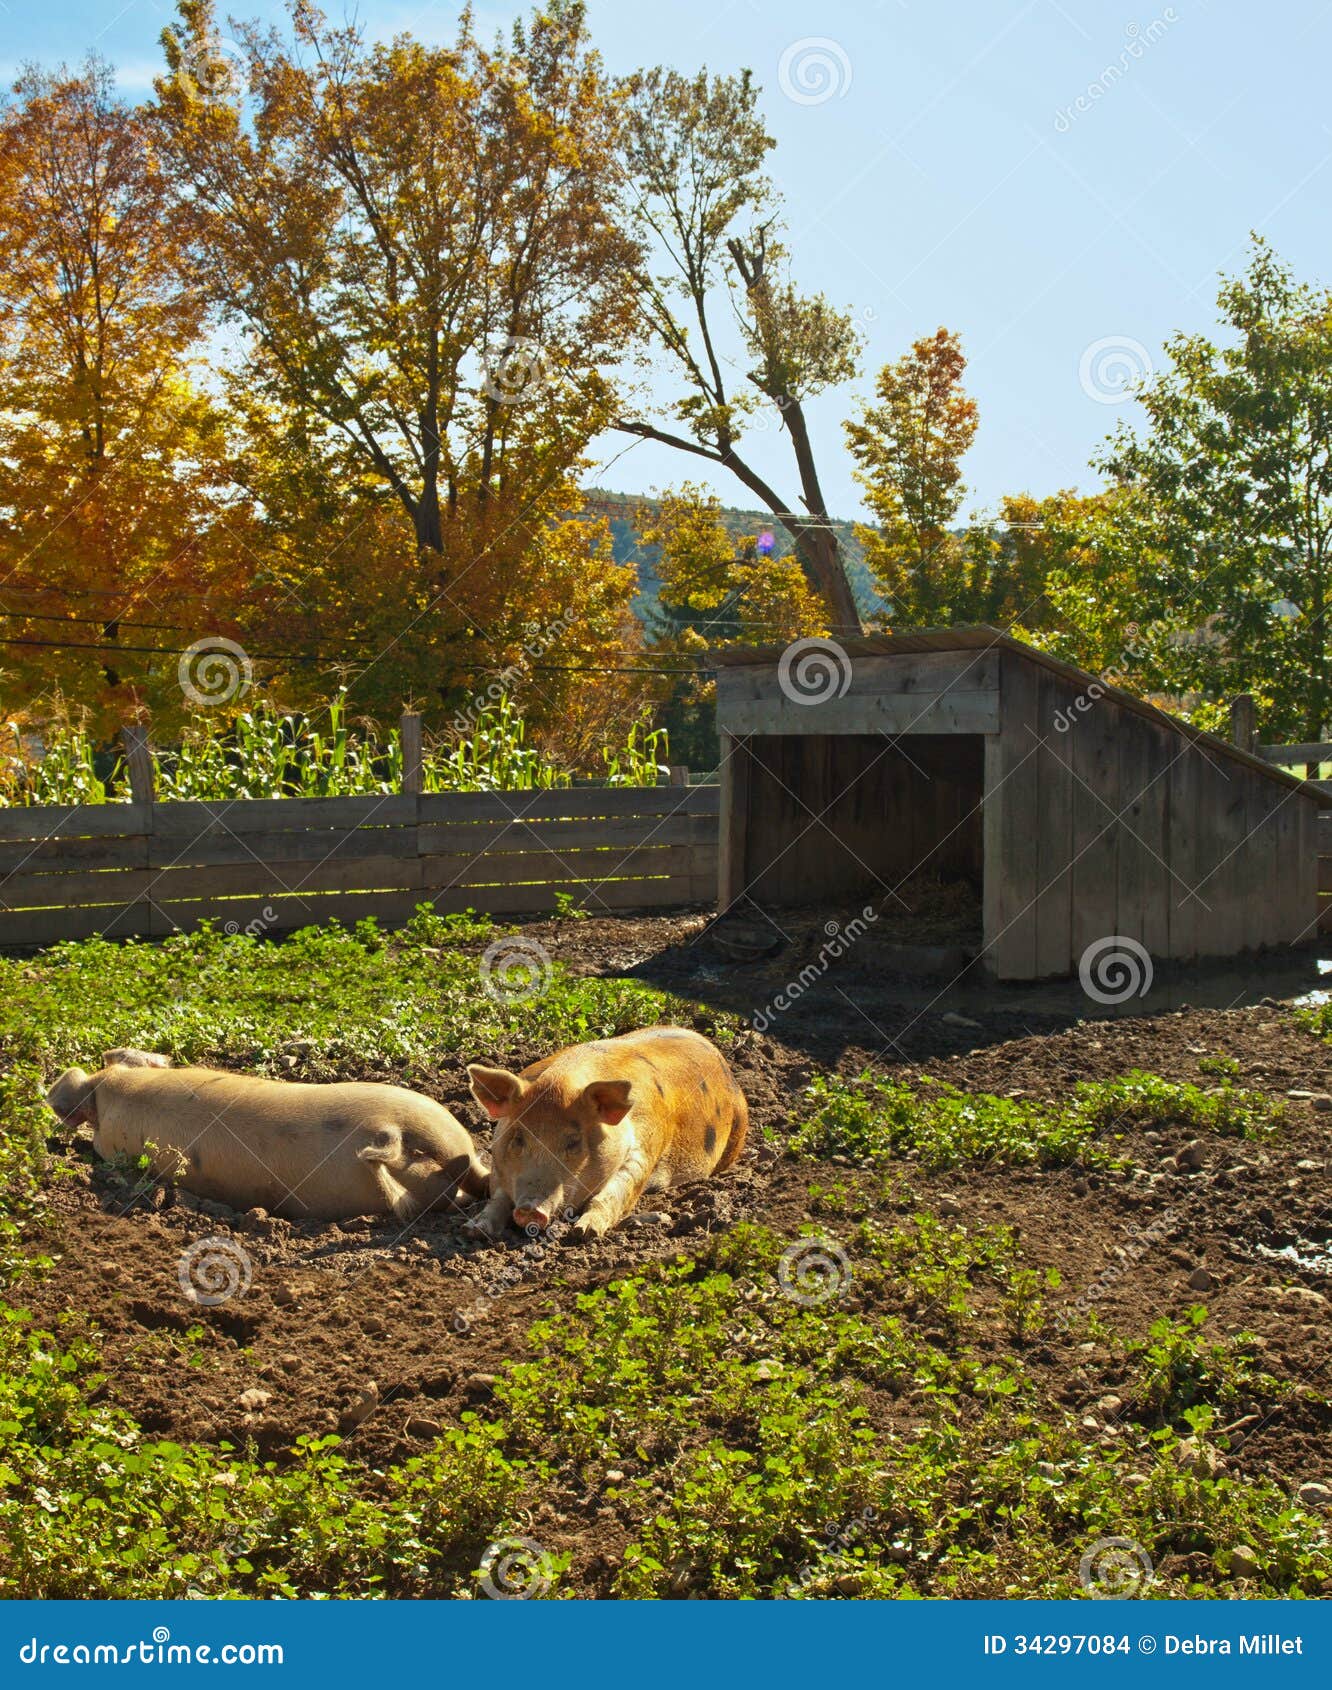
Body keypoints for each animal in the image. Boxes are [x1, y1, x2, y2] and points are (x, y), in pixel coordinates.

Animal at [465, 1025, 748, 1240]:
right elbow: (498, 1199)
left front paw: (584, 1232)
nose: (530, 1208)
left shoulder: (646, 1150)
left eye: (574, 1142)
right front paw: (475, 1229)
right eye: (518, 1138)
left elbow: (615, 1194)